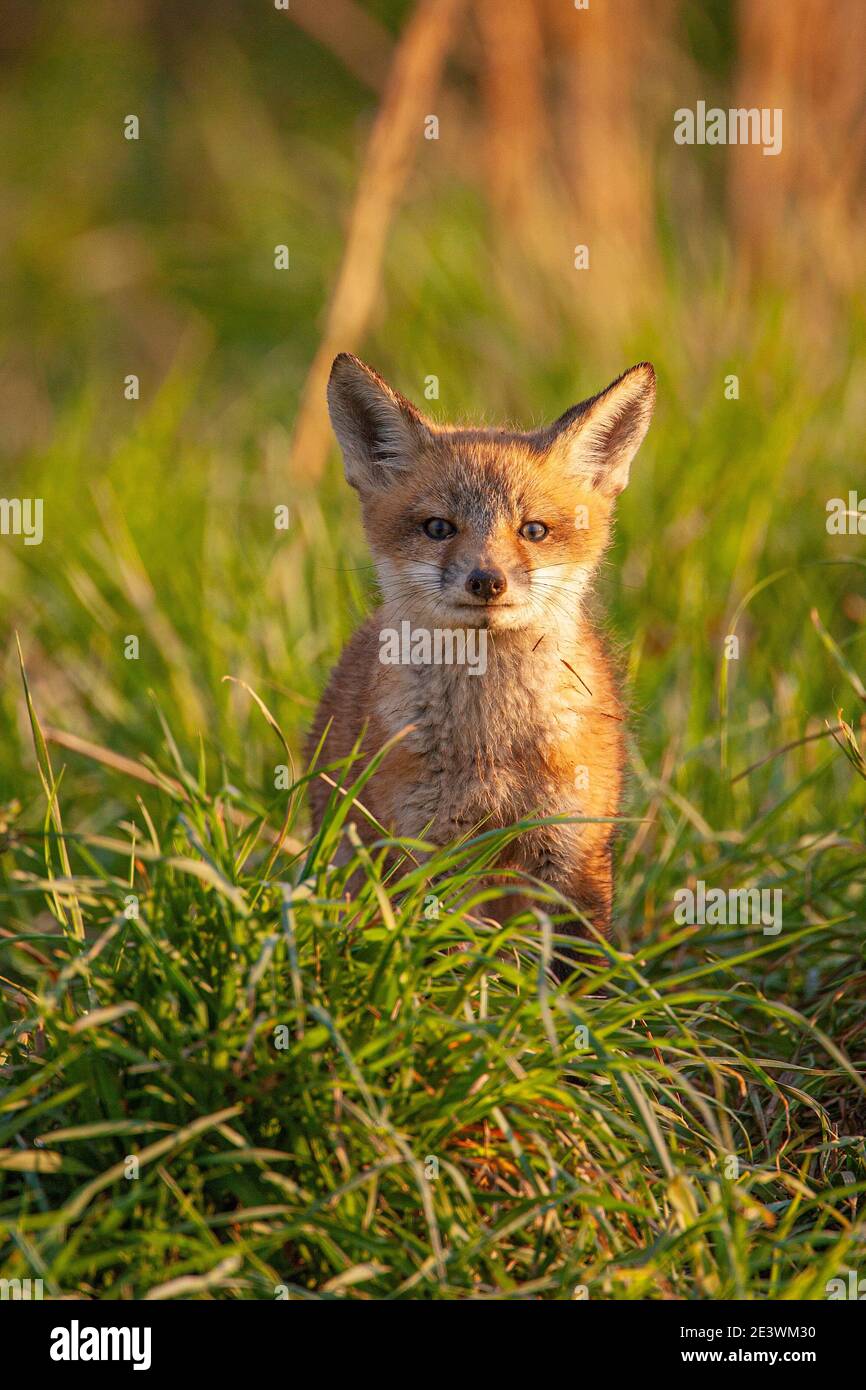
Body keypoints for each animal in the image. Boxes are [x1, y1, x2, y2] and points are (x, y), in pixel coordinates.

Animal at [307, 352, 655, 963]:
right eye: (438, 528)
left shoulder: (572, 850)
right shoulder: (426, 849)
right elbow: (445, 957)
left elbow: (578, 966)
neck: (491, 746)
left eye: (534, 530)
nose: (487, 580)